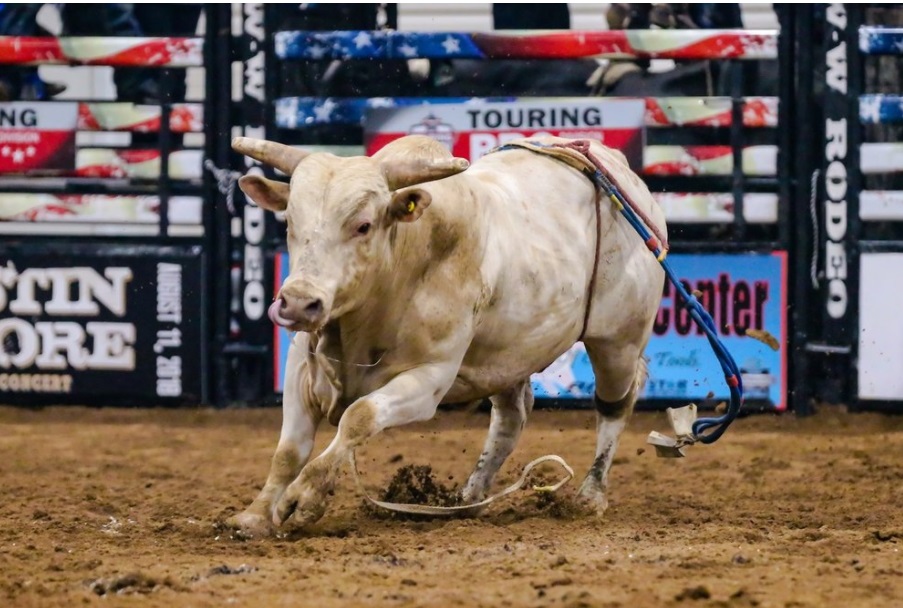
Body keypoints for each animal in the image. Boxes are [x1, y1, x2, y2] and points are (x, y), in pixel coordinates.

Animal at [227, 134, 666, 536]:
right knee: (511, 417)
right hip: (506, 356)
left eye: (363, 225)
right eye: (289, 222)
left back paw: (590, 495)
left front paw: (304, 498)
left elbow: (358, 417)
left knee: (615, 404)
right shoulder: (301, 367)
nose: (299, 303)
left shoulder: (429, 379)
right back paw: (468, 498)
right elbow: (289, 450)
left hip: (618, 342)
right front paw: (254, 514)